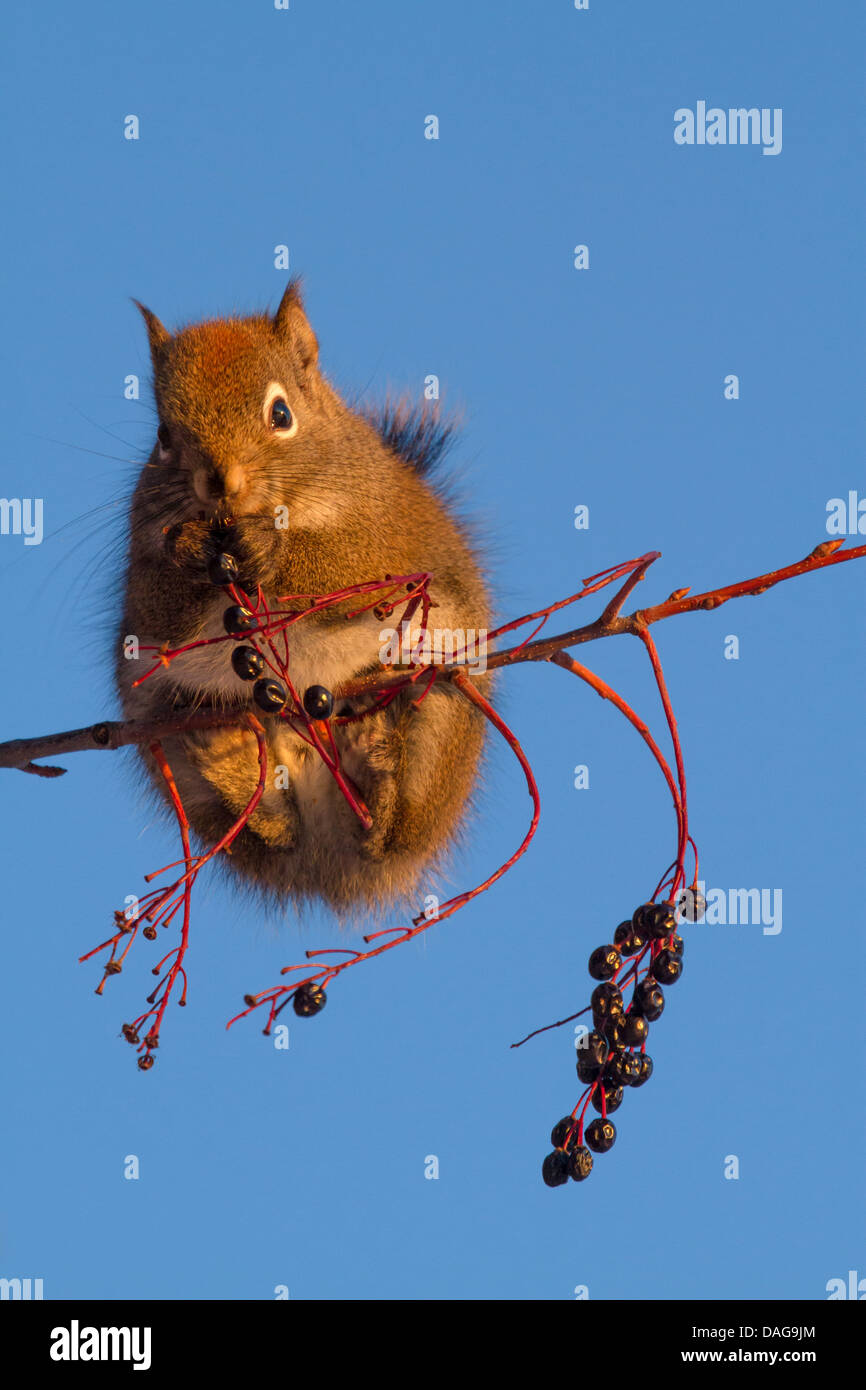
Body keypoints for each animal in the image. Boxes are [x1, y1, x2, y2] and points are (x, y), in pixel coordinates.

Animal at [117, 279, 491, 918]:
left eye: (281, 414)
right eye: (163, 437)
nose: (220, 482)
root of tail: (328, 861)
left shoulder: (383, 530)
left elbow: (352, 565)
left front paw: (271, 548)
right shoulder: (141, 573)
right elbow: (158, 608)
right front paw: (190, 549)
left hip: (446, 701)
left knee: (391, 827)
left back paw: (378, 762)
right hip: (162, 730)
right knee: (274, 827)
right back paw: (233, 761)